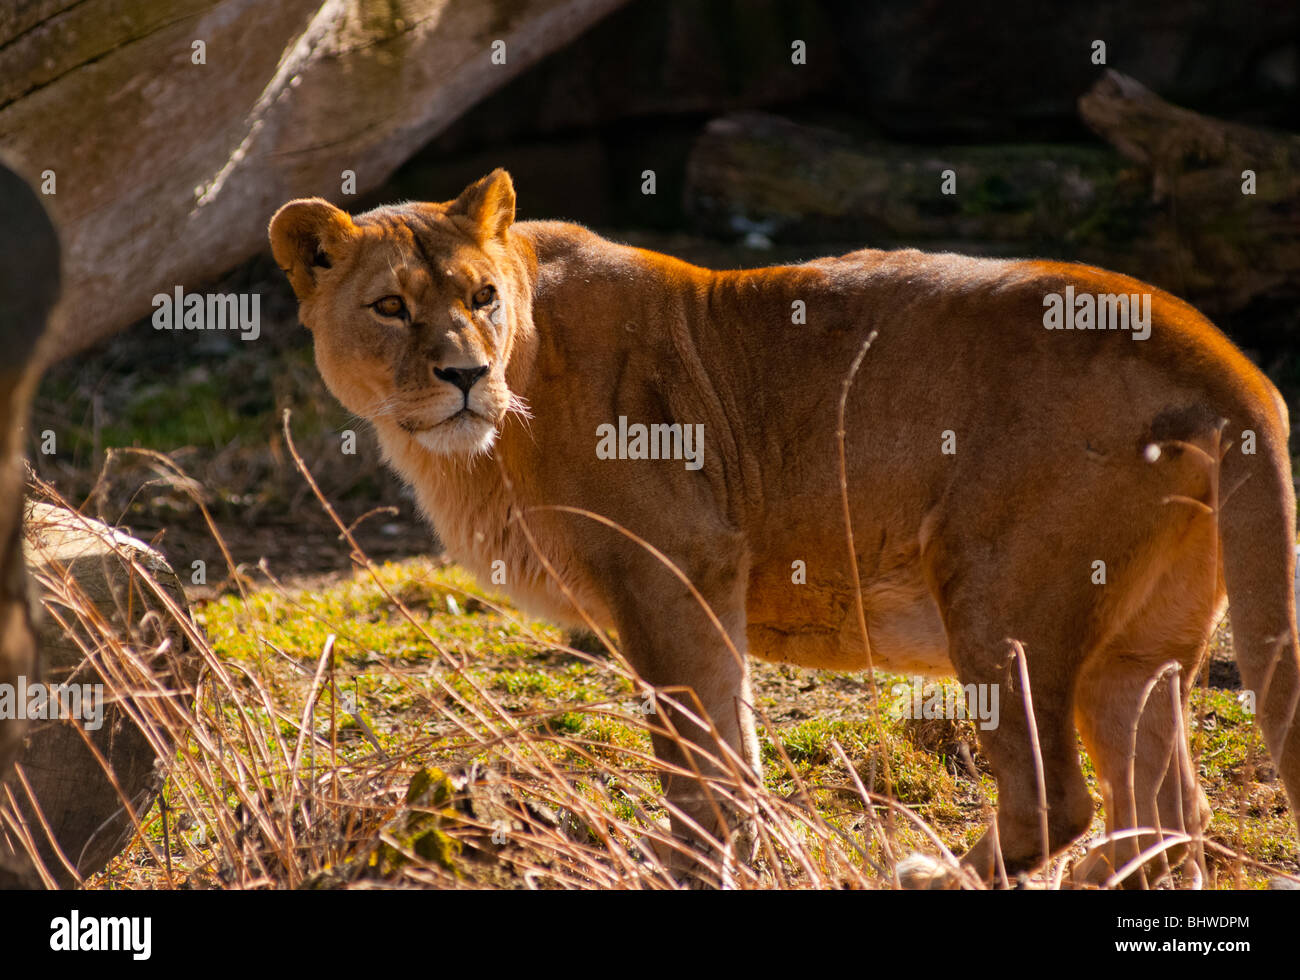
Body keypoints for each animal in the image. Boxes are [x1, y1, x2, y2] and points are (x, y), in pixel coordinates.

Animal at [270, 169, 1300, 887]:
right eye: (391, 307)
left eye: (480, 299)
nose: (464, 375)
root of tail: (1220, 352)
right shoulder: (697, 585)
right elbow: (731, 746)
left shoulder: (674, 566)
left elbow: (696, 761)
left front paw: (695, 866)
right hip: (1137, 649)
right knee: (1173, 812)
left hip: (995, 594)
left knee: (1058, 797)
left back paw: (934, 875)